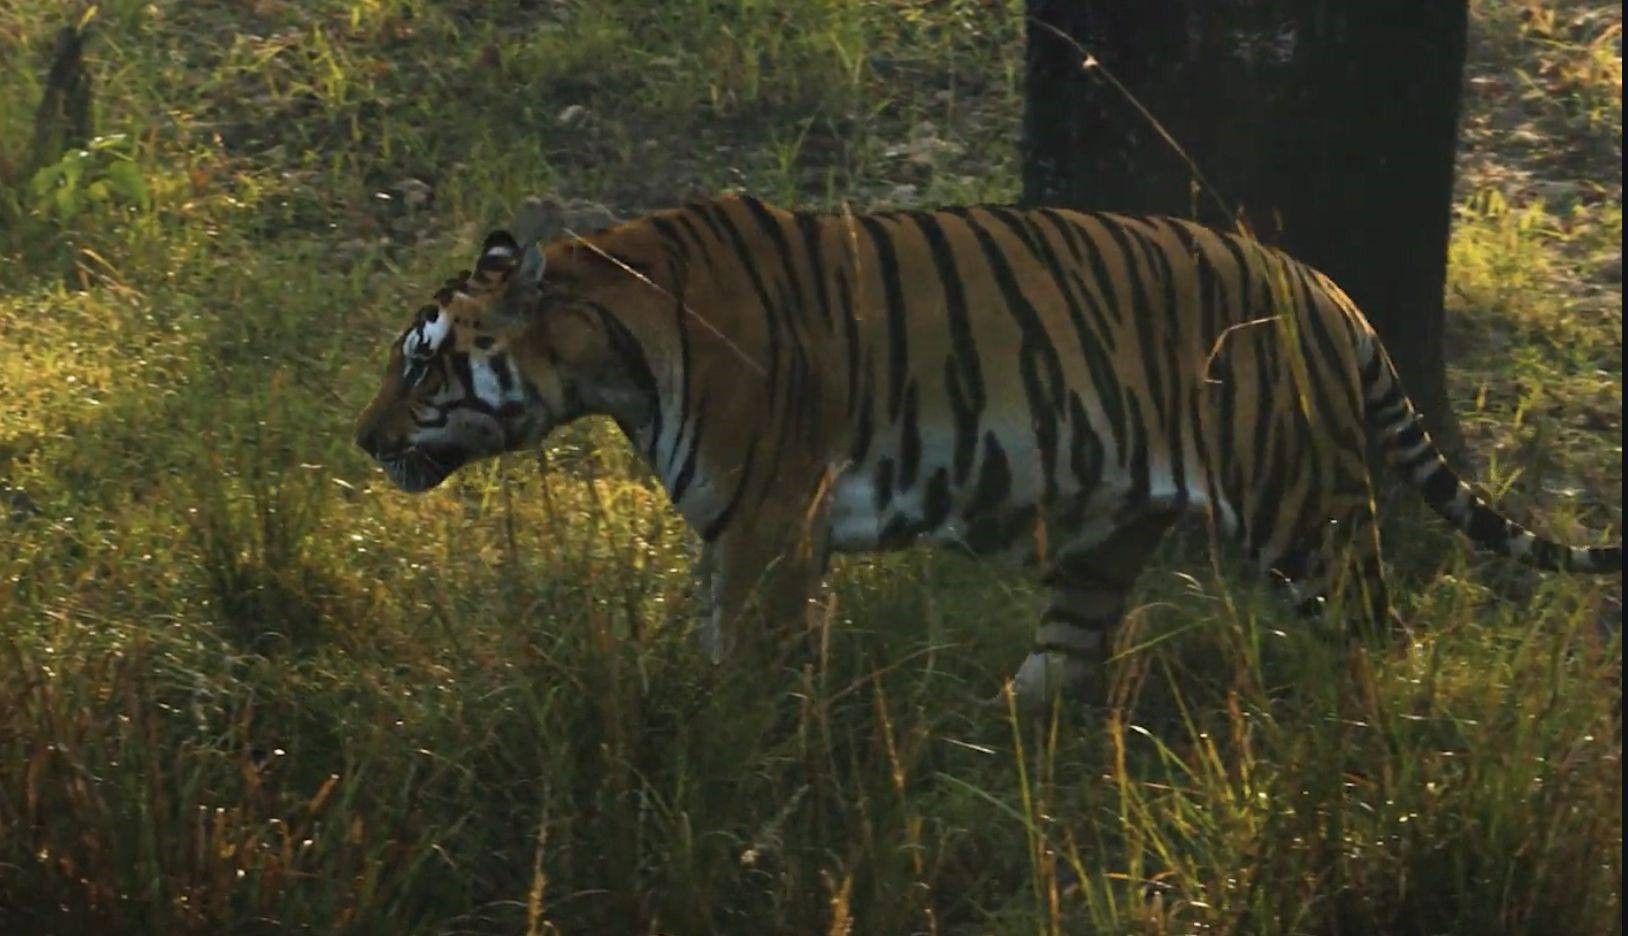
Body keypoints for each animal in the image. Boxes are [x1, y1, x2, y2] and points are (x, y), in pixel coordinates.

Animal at [353, 194, 1621, 709]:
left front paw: (738, 751)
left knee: (1370, 633)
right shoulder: (743, 531)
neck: (604, 348)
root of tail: (1326, 291)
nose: (362, 442)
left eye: (421, 366)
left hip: (1300, 515)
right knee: (1065, 667)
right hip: (1103, 543)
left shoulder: (767, 526)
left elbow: (748, 655)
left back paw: (1358, 756)